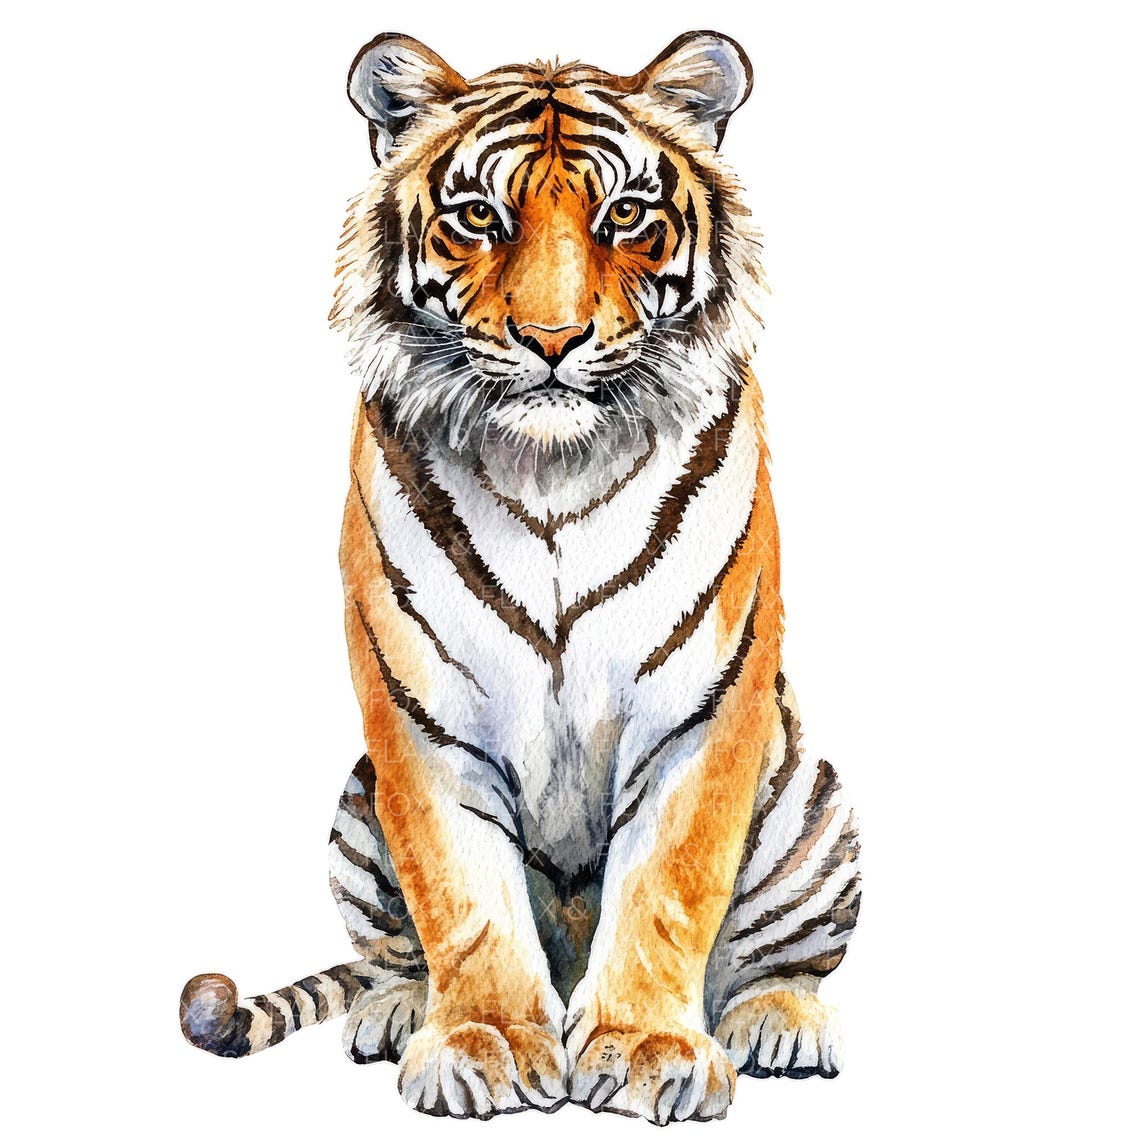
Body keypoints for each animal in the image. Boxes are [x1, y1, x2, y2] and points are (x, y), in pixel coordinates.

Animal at [179, 30, 860, 1124]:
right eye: (476, 217)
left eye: (623, 214)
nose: (551, 340)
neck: (554, 471)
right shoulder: (423, 713)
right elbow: (462, 897)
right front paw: (485, 1044)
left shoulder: (700, 706)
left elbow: (669, 886)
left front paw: (646, 1052)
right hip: (355, 807)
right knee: (389, 951)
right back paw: (396, 1010)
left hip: (811, 806)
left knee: (783, 960)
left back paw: (779, 1023)